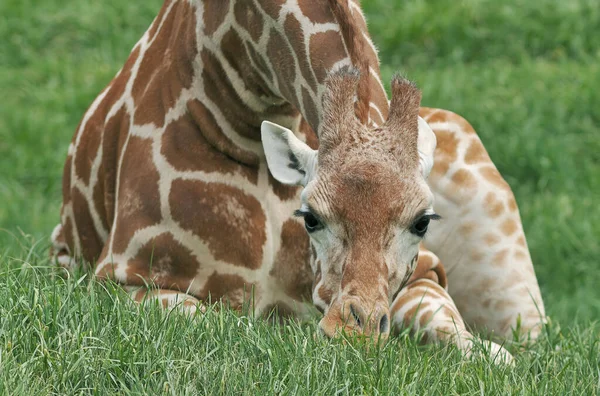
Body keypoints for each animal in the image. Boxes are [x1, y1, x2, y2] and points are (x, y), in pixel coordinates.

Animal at [51, 0, 544, 360]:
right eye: (310, 217)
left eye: (423, 222)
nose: (354, 333)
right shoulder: (125, 281)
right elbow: (236, 326)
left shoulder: (426, 272)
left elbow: (486, 353)